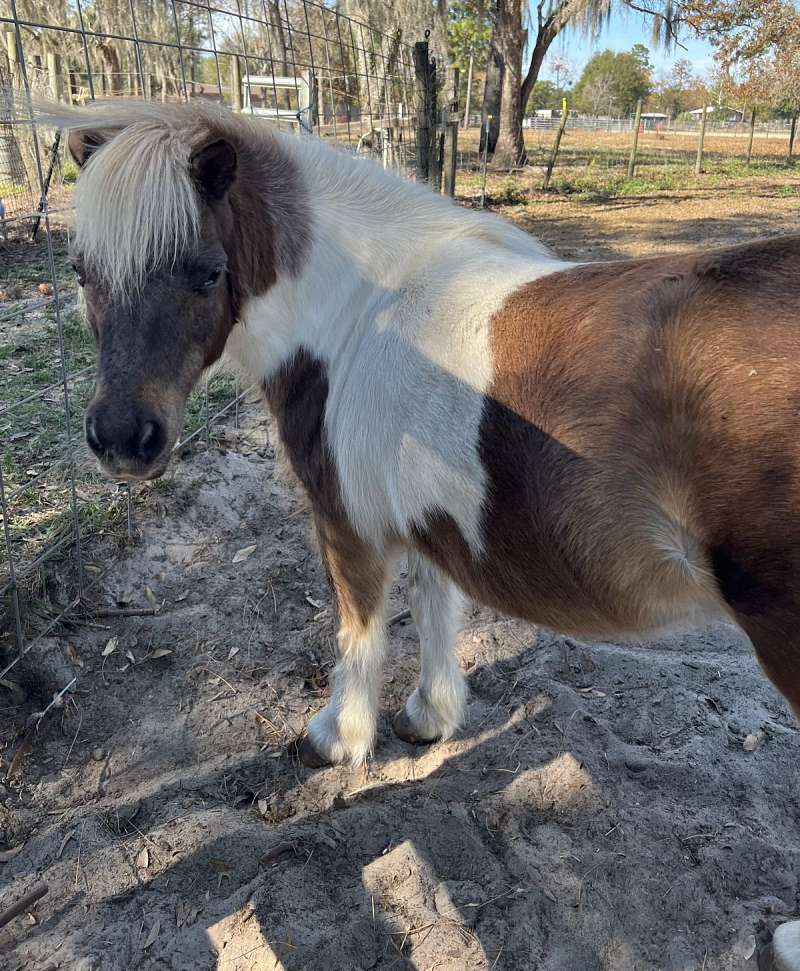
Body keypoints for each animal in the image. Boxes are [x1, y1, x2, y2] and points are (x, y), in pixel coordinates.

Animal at [37, 100, 800, 768]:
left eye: (208, 272)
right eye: (80, 271)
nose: (123, 439)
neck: (360, 313)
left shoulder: (347, 524)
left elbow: (360, 629)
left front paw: (339, 737)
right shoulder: (430, 517)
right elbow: (435, 605)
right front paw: (431, 716)